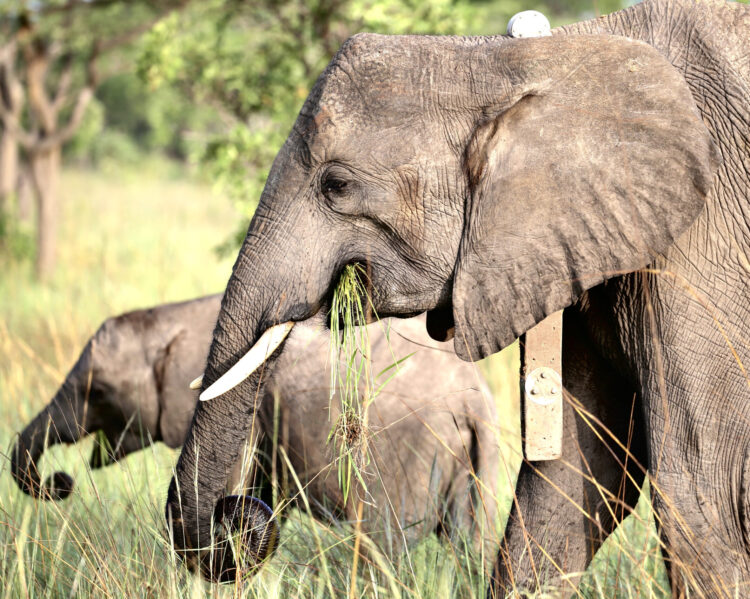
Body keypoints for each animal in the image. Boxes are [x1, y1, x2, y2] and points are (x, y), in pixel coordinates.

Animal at [11, 295, 500, 568]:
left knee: (381, 552)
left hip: (401, 458)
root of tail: (473, 403)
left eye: (99, 393)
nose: (62, 481)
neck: (179, 317)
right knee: (471, 552)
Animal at [163, 0, 750, 595]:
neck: (528, 61)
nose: (239, 512)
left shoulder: (700, 249)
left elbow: (703, 495)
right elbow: (569, 484)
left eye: (336, 186)